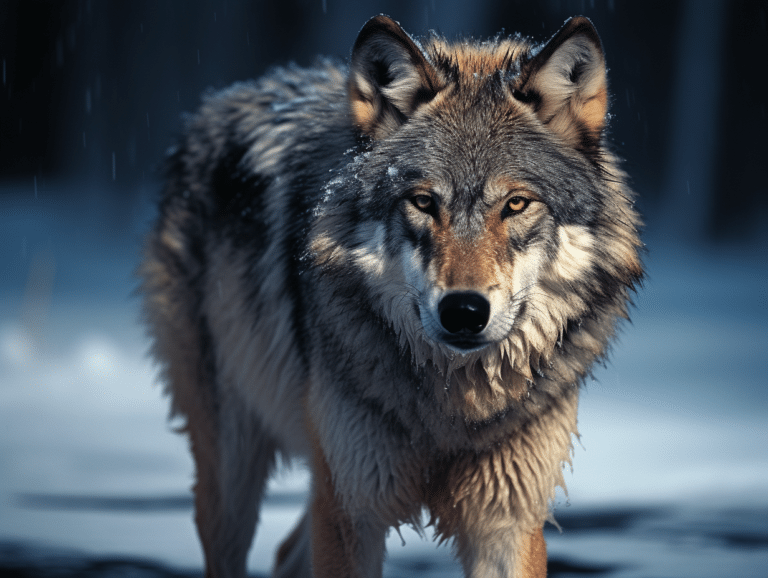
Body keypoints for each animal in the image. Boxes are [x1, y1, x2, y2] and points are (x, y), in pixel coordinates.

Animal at [140, 14, 642, 578]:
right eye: (423, 202)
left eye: (516, 204)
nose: (464, 311)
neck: (454, 404)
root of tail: (223, 98)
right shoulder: (352, 509)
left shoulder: (507, 521)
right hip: (238, 464)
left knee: (287, 552)